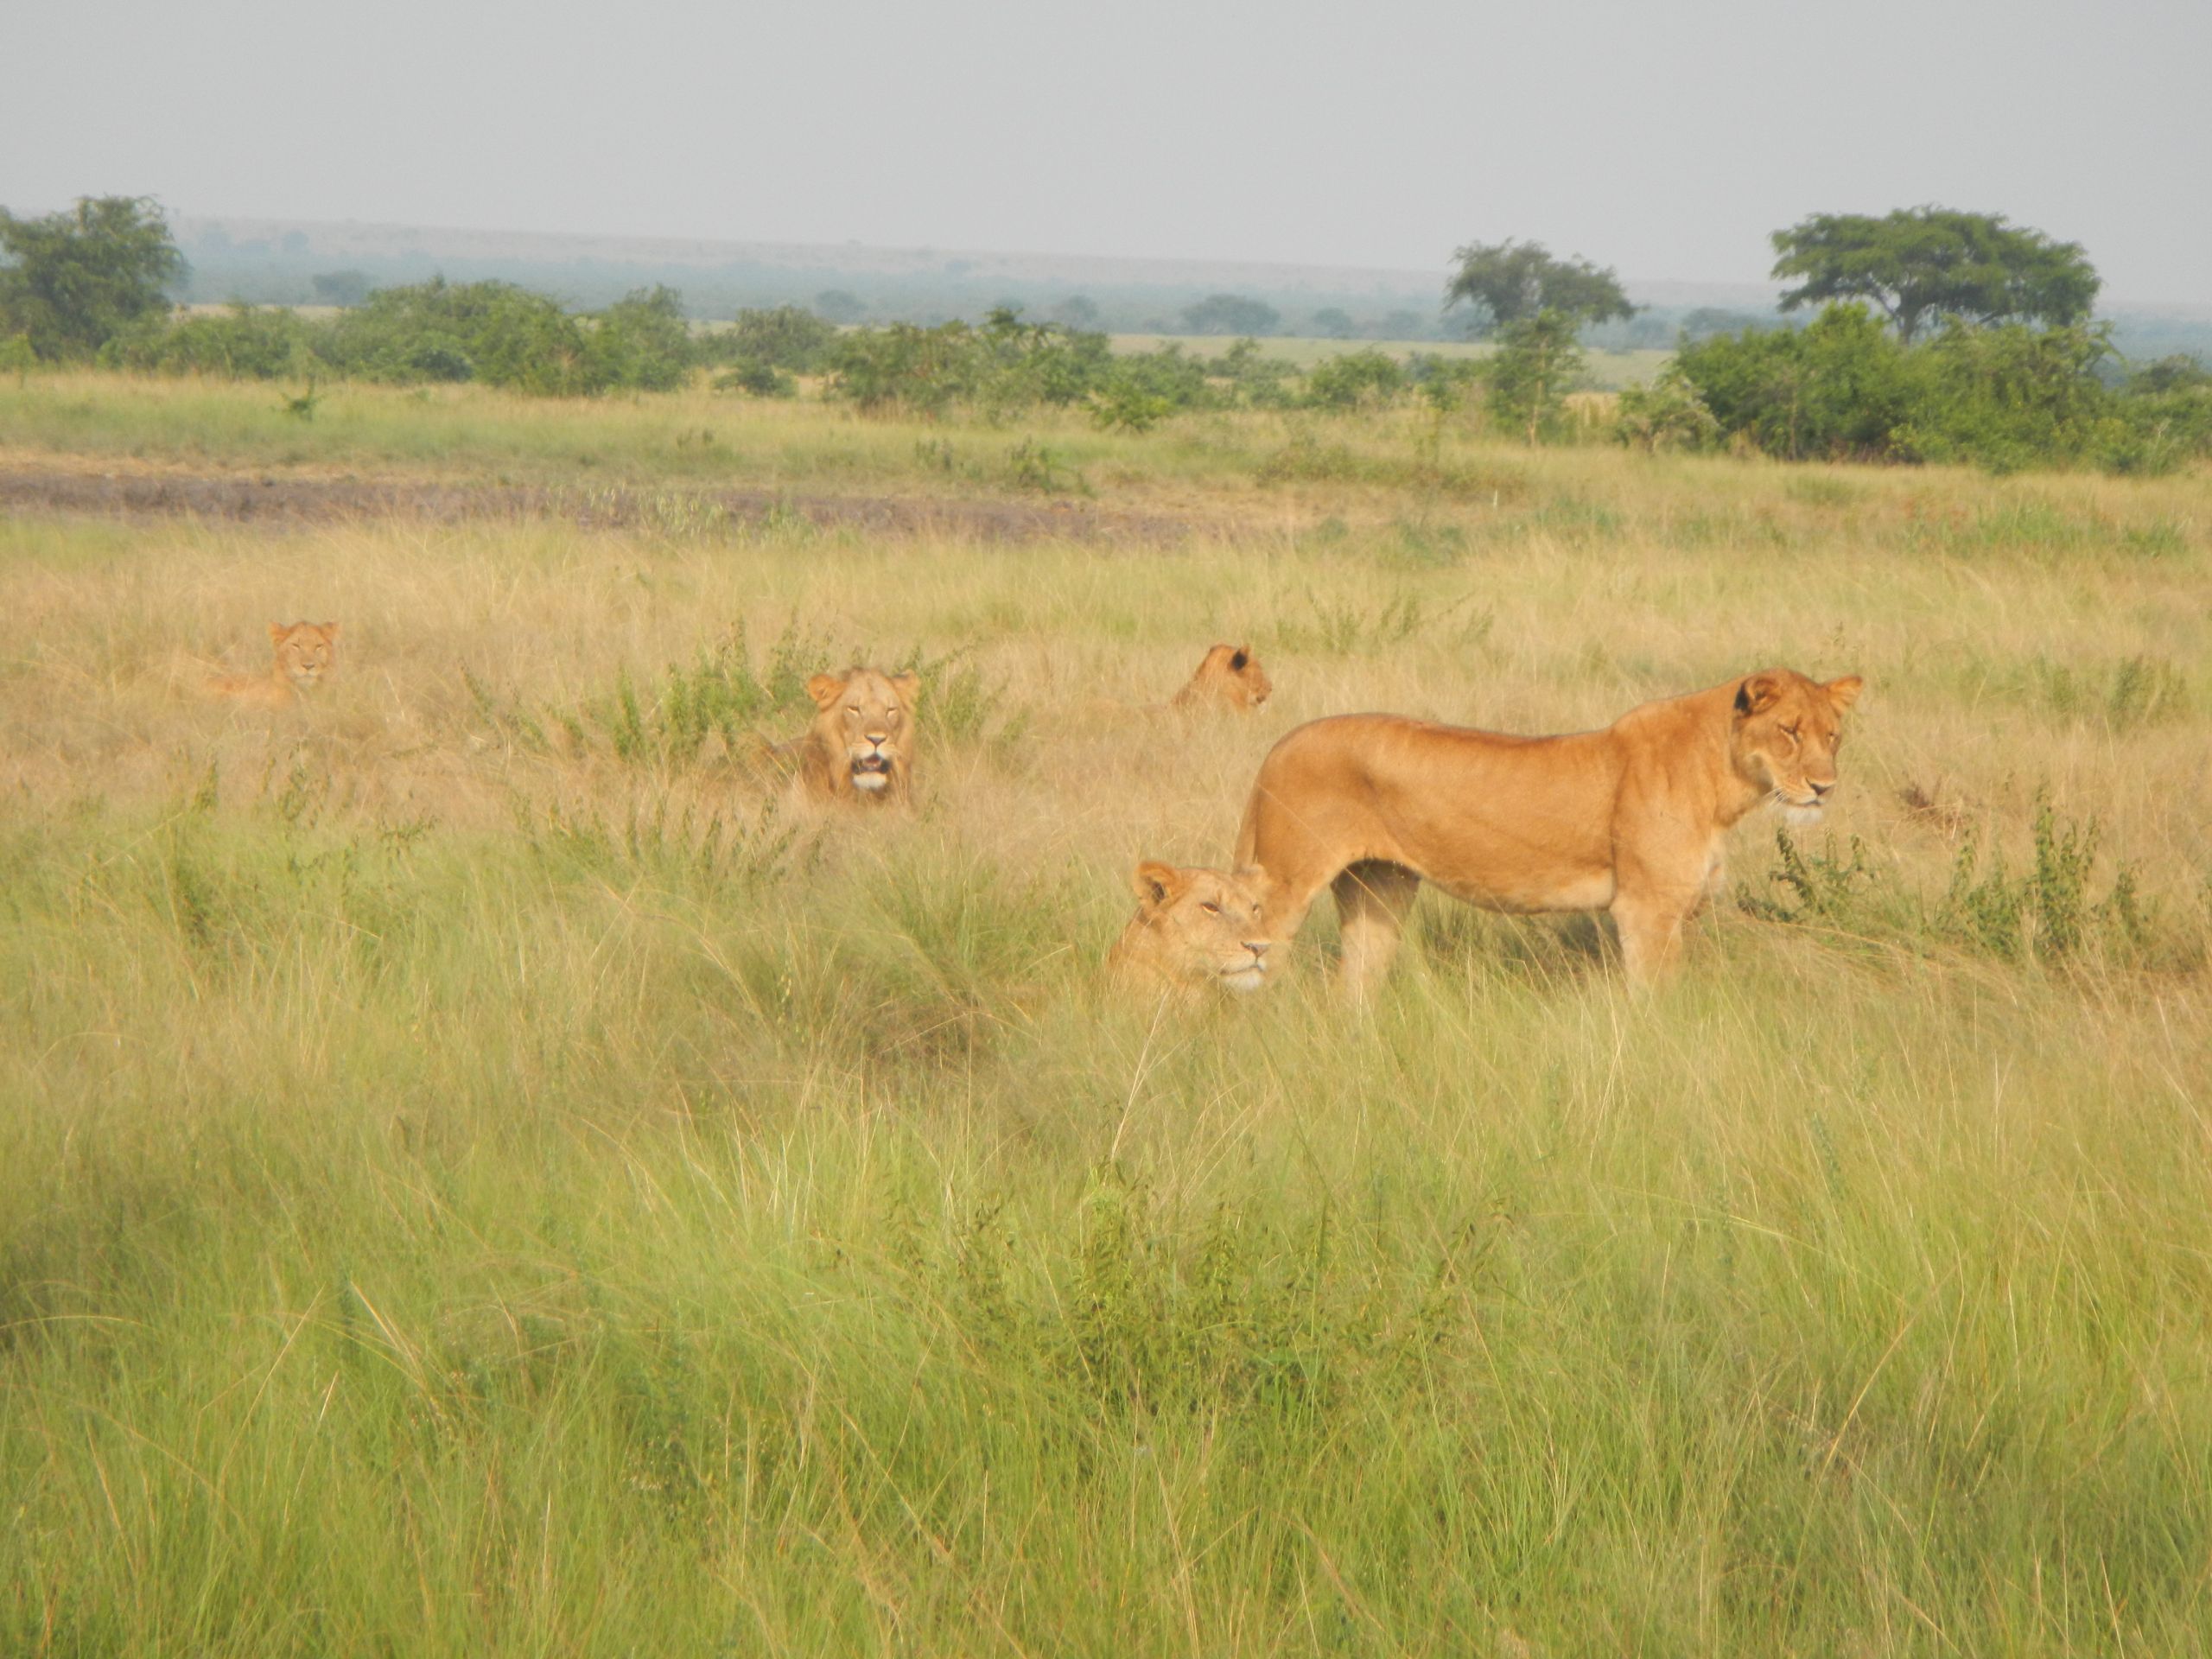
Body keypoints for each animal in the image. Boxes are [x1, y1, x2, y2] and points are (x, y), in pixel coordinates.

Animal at [1233, 667, 1863, 995]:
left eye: (1832, 736)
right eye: (1789, 731)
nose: (1825, 787)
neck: (1723, 784)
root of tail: (1279, 745)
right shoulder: (1647, 909)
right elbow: (1658, 998)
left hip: (1379, 888)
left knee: (1356, 982)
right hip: (1284, 888)